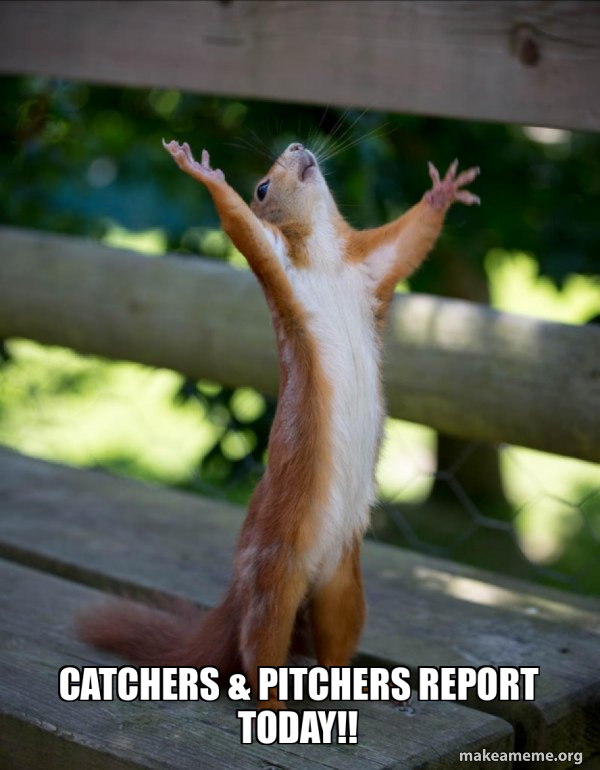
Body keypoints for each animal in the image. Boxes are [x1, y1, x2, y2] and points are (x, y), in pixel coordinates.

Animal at [77, 138, 479, 710]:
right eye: (262, 187)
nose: (296, 146)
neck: (327, 260)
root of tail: (240, 591)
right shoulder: (277, 265)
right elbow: (240, 226)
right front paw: (203, 173)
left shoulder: (372, 267)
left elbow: (410, 240)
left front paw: (443, 191)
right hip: (273, 580)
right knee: (259, 652)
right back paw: (274, 706)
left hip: (344, 587)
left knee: (336, 639)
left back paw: (347, 688)